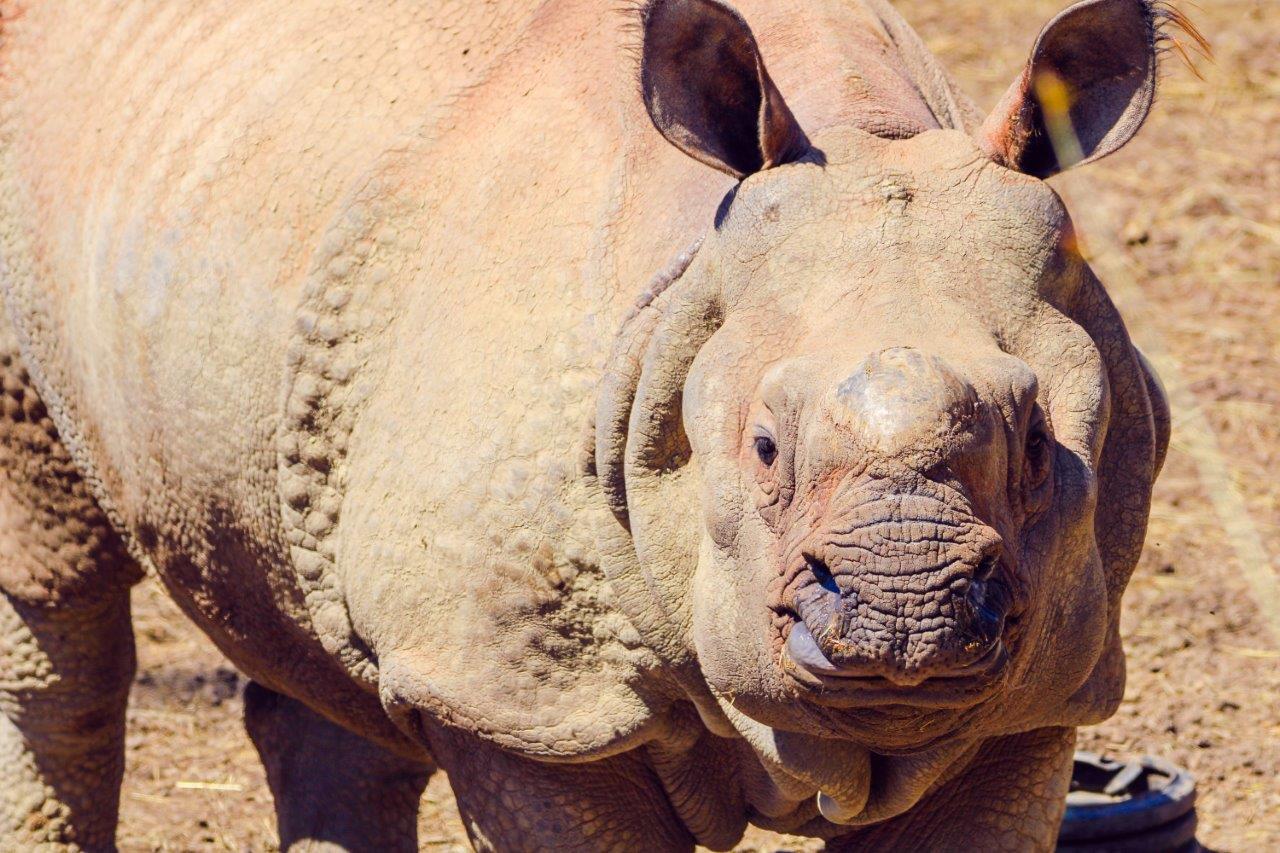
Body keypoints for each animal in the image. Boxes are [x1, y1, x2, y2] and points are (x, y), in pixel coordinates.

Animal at [0, 0, 1189, 849]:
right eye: (760, 447)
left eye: (1037, 448)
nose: (907, 612)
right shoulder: (522, 700)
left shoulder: (1038, 694)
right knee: (57, 582)